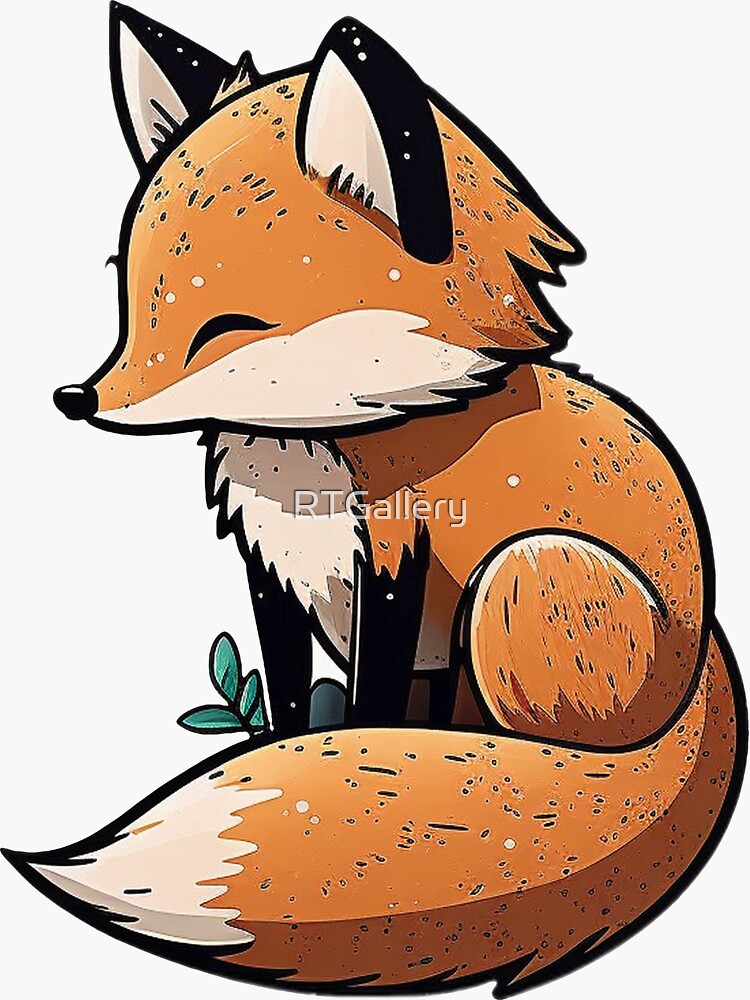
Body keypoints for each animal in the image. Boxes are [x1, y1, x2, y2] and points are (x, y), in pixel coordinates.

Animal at [4, 3, 746, 996]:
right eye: (129, 300)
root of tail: (703, 667)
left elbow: (368, 697)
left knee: (541, 745)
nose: (73, 399)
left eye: (227, 329)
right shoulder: (269, 563)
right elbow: (286, 690)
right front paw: (281, 743)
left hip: (521, 578)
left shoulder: (399, 565)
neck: (314, 455)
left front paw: (334, 750)